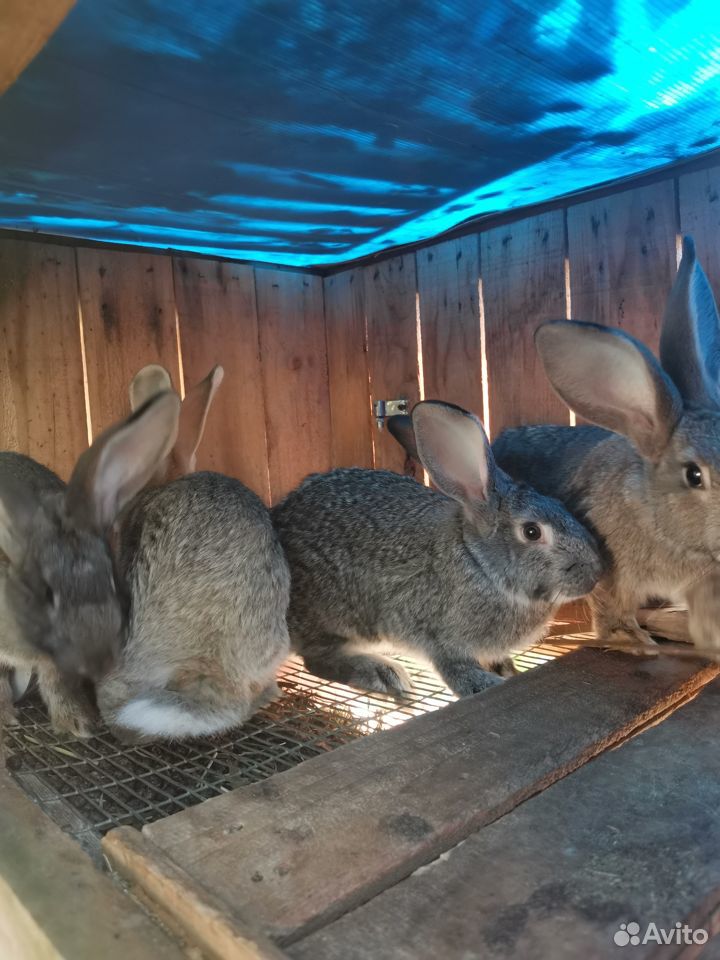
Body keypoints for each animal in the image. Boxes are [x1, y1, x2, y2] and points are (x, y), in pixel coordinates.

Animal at [0, 392, 181, 735]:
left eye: (111, 580)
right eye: (46, 593)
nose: (99, 664)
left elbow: (56, 682)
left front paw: (76, 721)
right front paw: (5, 717)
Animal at [271, 399, 603, 698]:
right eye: (532, 531)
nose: (595, 574)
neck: (479, 563)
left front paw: (505, 668)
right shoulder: (435, 636)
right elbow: (454, 668)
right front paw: (484, 685)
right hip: (340, 616)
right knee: (317, 658)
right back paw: (382, 673)